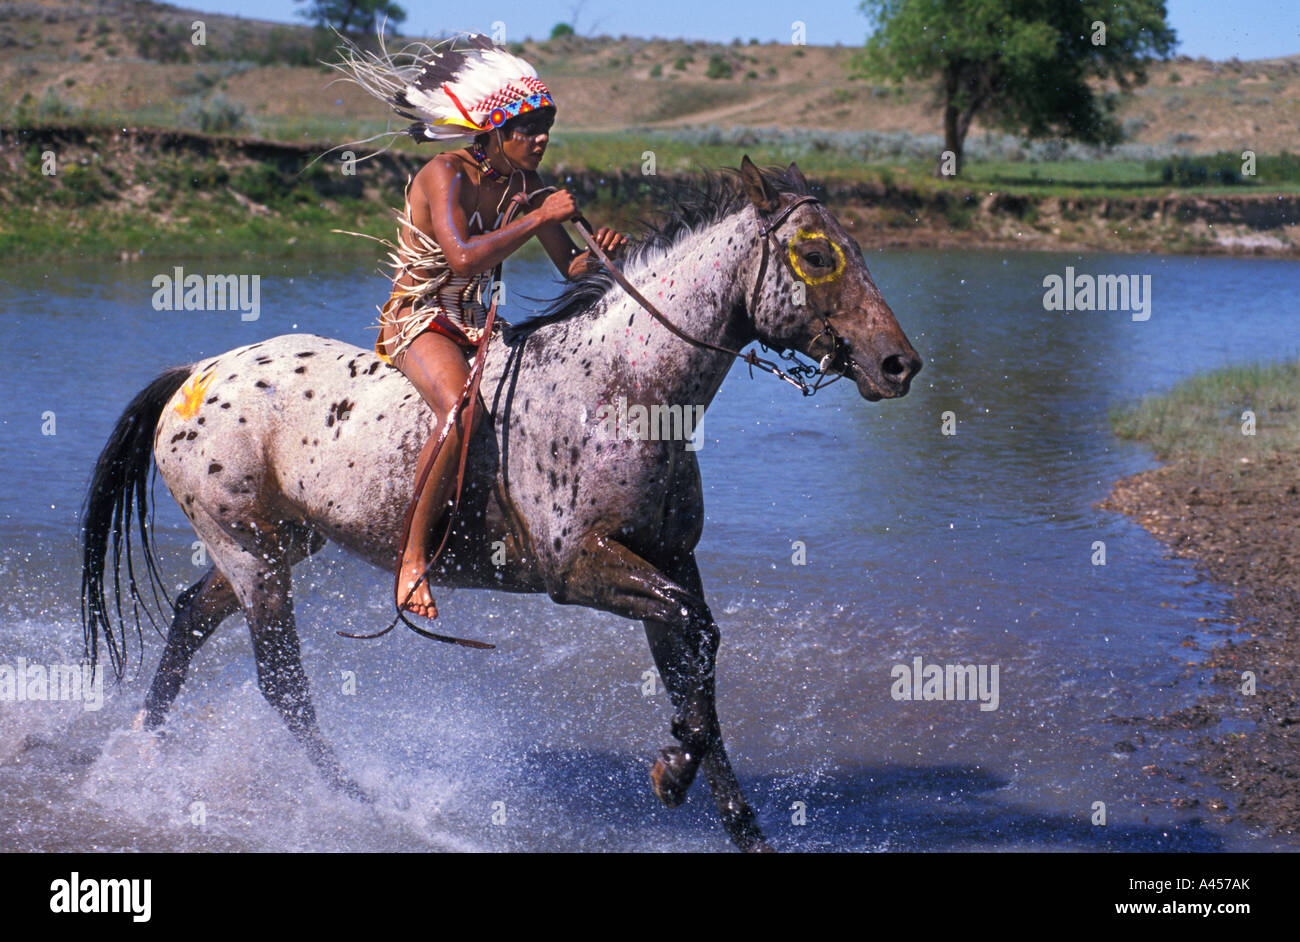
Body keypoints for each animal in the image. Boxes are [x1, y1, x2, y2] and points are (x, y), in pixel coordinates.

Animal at [79, 157, 921, 852]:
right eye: (817, 253)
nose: (899, 364)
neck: (625, 390)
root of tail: (196, 372)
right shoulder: (578, 569)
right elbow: (694, 638)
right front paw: (673, 768)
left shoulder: (669, 560)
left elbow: (699, 660)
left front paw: (724, 810)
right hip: (251, 552)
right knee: (282, 681)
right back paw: (362, 801)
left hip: (275, 544)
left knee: (191, 616)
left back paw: (142, 752)